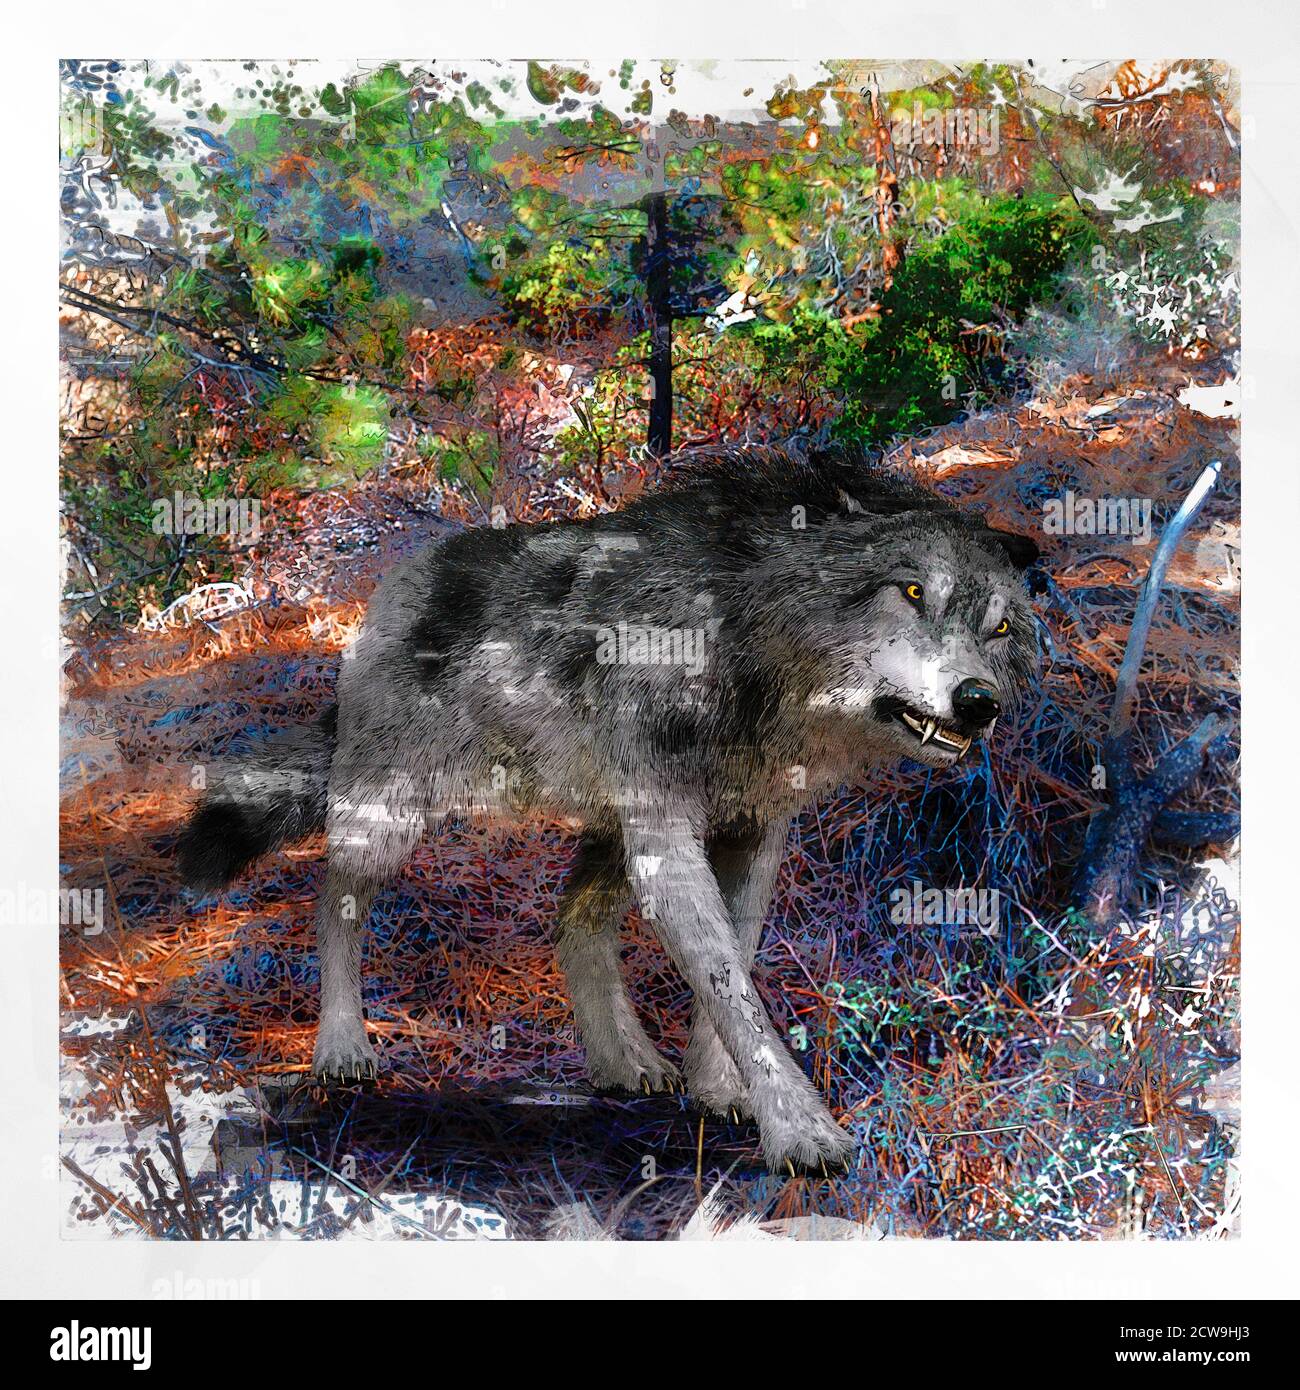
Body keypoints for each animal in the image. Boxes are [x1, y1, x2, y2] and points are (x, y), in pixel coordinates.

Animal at [178, 444, 1040, 1174]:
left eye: (999, 628)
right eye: (912, 591)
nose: (980, 703)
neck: (744, 643)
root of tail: (403, 573)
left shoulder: (755, 830)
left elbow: (736, 963)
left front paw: (717, 1090)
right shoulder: (665, 833)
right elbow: (730, 983)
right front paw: (801, 1130)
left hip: (602, 832)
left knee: (572, 924)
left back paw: (621, 1061)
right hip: (391, 819)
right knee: (332, 902)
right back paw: (342, 1046)